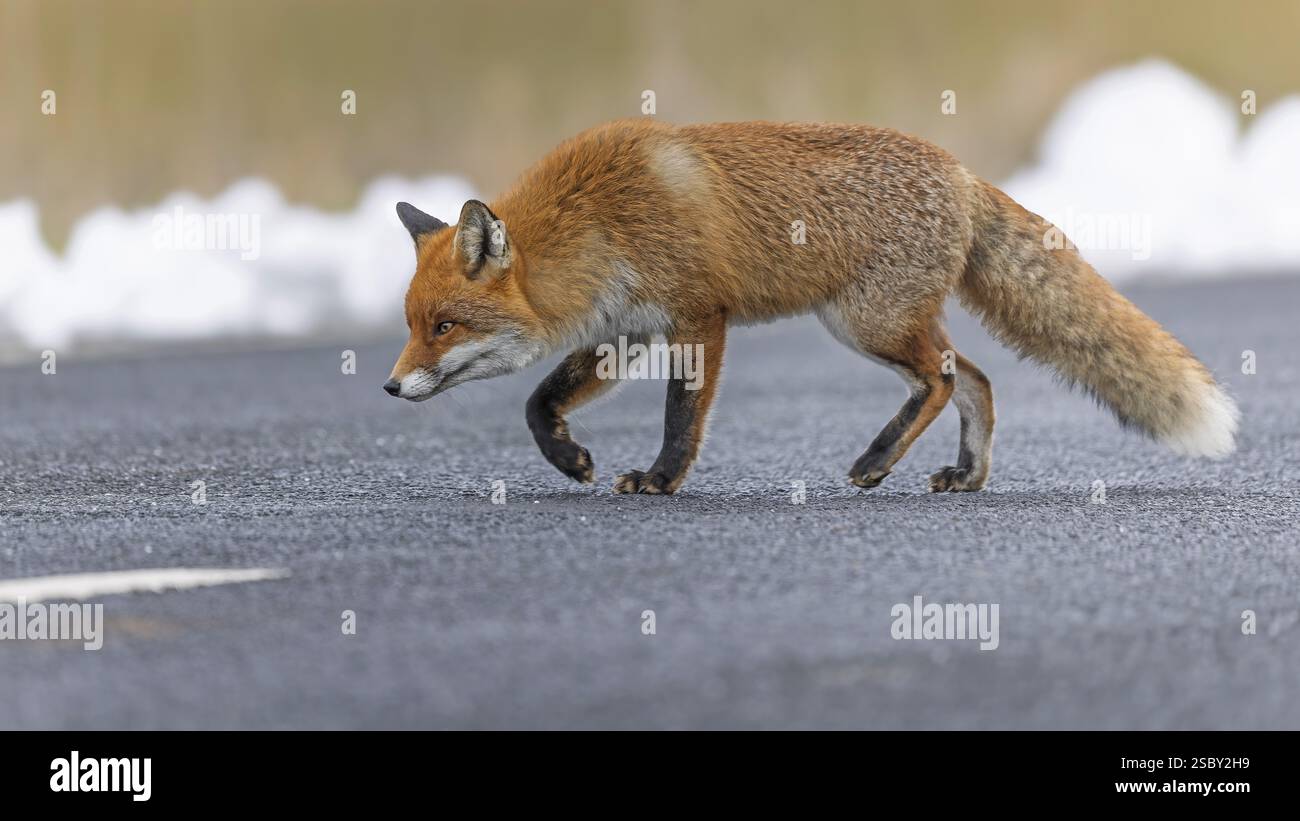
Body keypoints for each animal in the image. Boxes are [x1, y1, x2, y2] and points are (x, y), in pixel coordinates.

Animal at [384, 119, 1238, 494]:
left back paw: (876, 460)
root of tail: (959, 171)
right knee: (977, 379)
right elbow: (538, 401)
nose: (390, 386)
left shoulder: (699, 317)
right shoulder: (626, 330)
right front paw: (570, 457)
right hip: (877, 324)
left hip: (864, 323)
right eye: (410, 326)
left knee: (943, 378)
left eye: (444, 326)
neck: (600, 218)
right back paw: (964, 475)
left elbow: (681, 417)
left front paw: (661, 478)